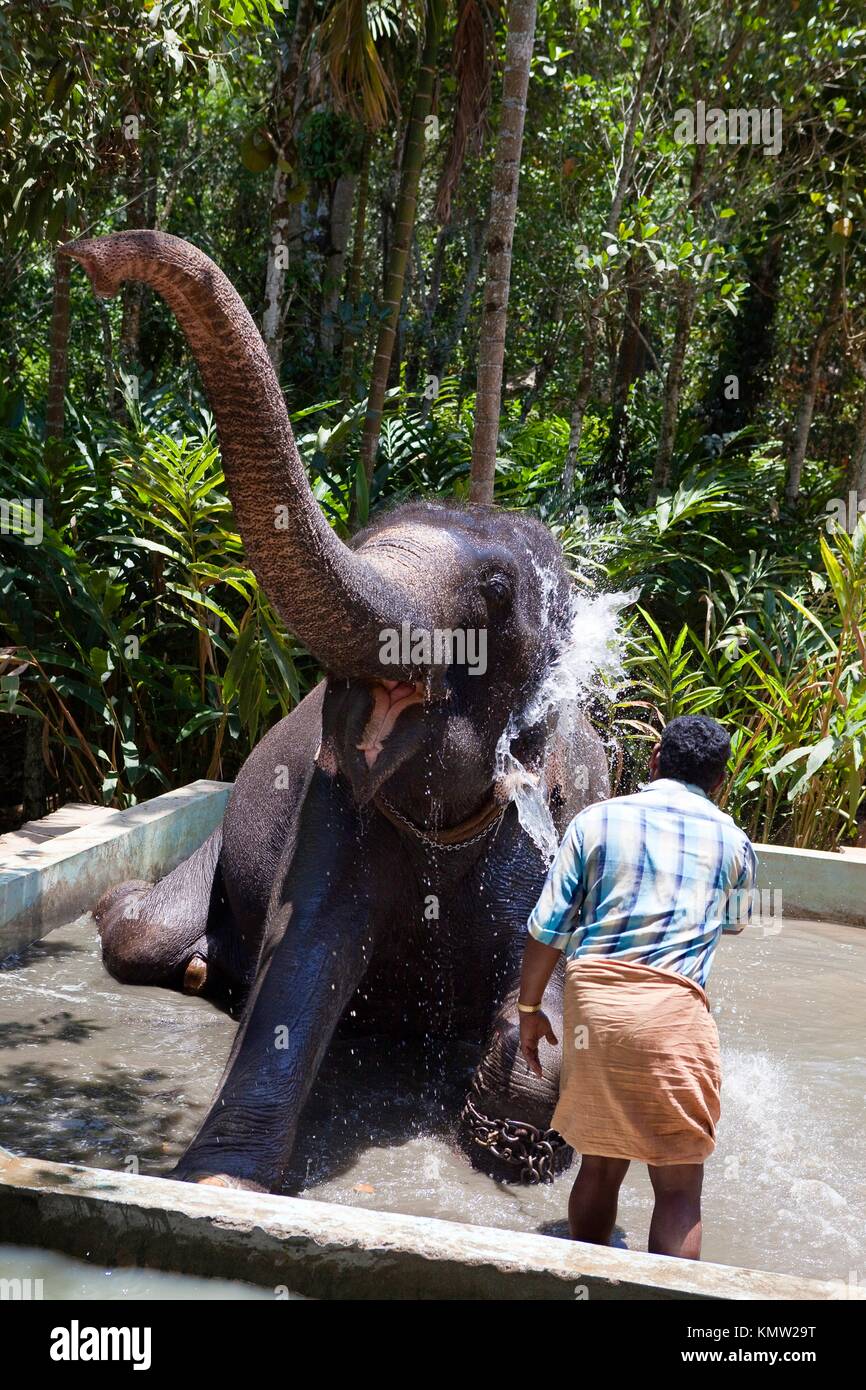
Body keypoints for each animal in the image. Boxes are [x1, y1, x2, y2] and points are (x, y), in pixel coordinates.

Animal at [63, 230, 610, 1193]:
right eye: (361, 541)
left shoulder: (569, 797)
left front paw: (515, 1136)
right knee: (142, 936)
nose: (88, 258)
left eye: (495, 594)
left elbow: (545, 961)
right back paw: (168, 943)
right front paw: (222, 1184)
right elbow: (305, 949)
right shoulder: (329, 805)